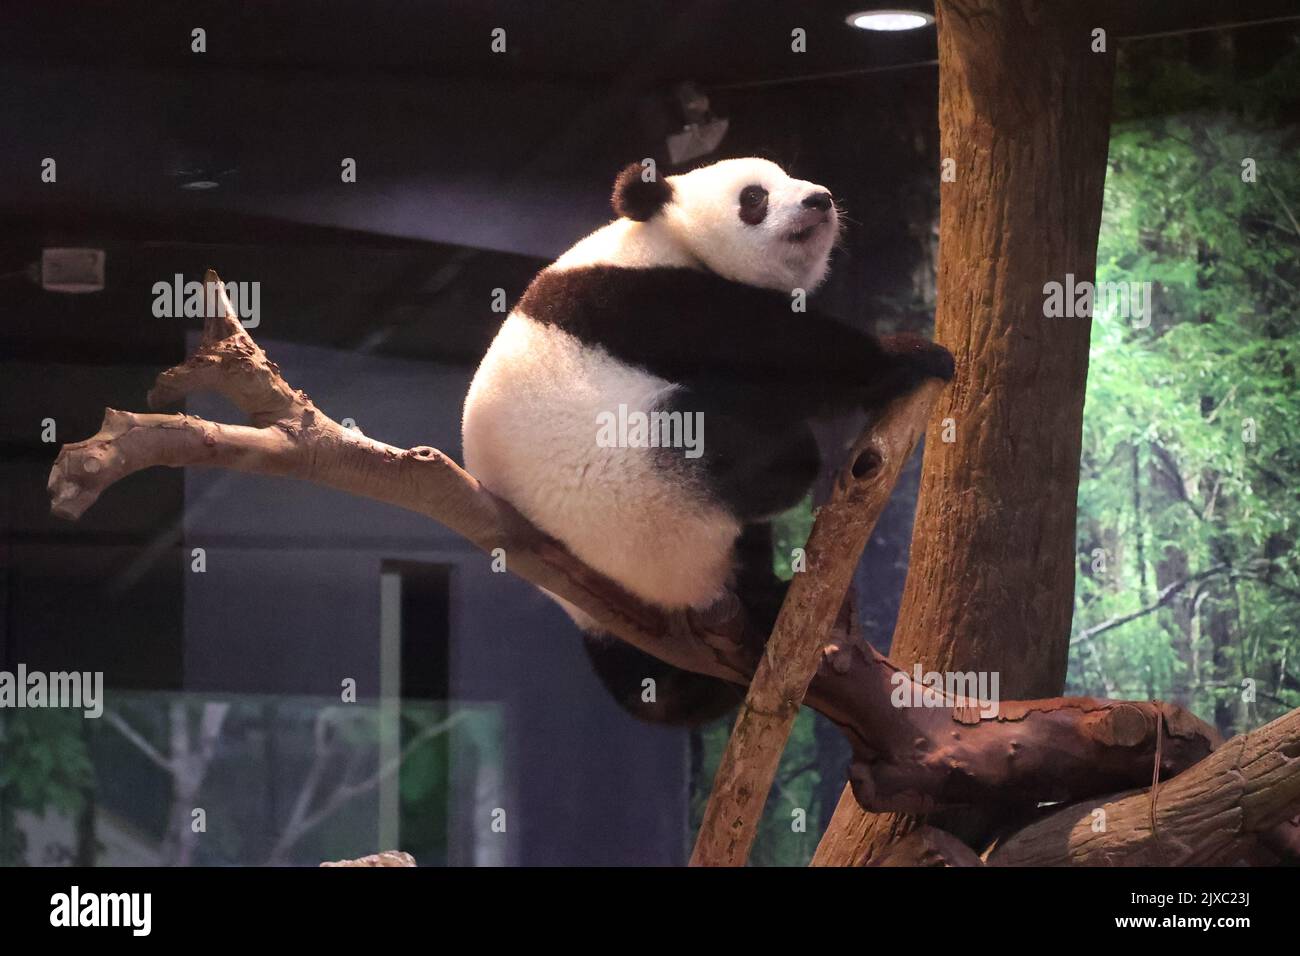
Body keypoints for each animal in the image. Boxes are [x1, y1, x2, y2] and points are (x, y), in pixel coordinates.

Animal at [462, 157, 953, 725]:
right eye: (754, 197)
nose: (819, 199)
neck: (667, 236)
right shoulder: (648, 299)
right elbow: (779, 351)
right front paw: (911, 354)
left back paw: (767, 602)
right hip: (639, 481)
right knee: (765, 451)